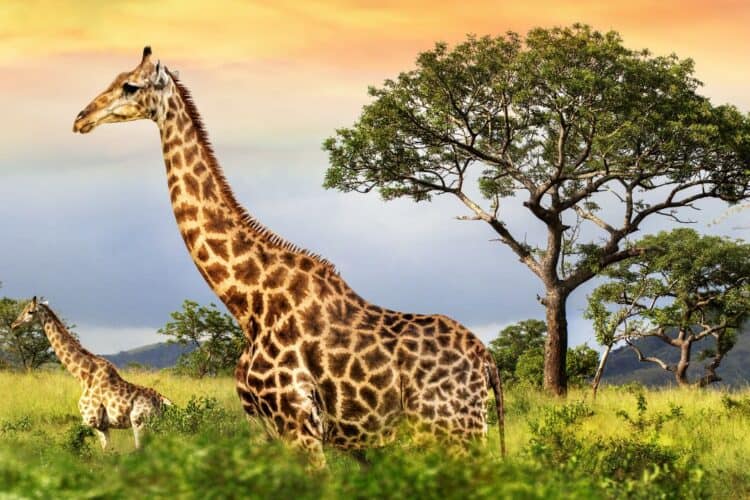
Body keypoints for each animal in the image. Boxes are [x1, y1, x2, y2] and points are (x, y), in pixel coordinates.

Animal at [11, 297, 171, 450]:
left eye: (30, 311)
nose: (14, 324)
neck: (84, 376)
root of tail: (163, 400)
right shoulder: (103, 426)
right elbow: (108, 451)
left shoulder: (91, 420)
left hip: (140, 424)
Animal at [73, 47, 505, 464]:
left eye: (130, 86)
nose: (81, 118)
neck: (247, 301)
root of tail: (487, 361)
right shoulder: (267, 427)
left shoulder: (299, 422)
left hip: (454, 429)